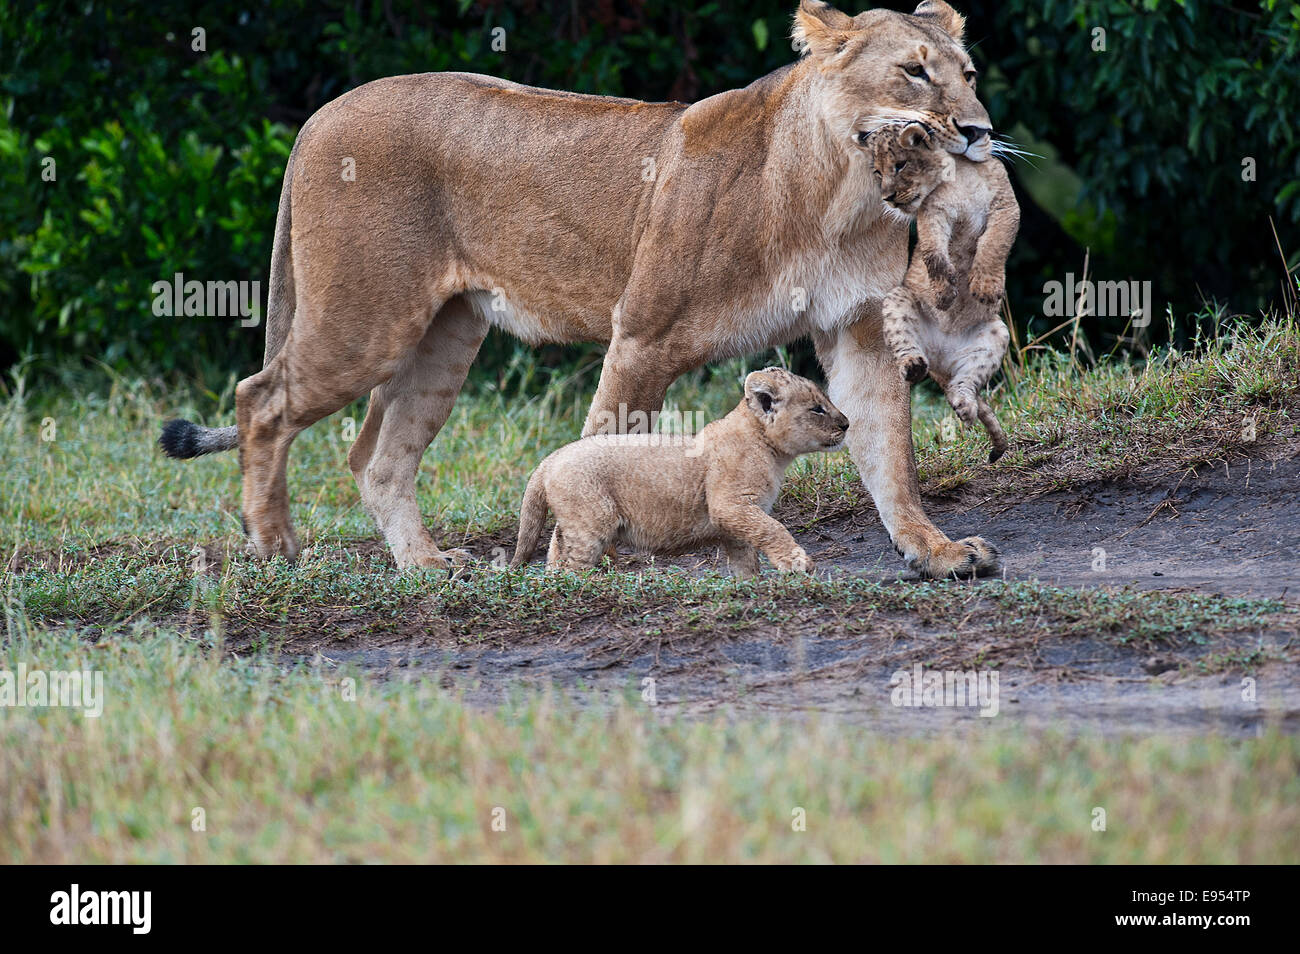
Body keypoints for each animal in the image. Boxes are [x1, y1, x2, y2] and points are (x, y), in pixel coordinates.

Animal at [512, 368, 848, 576]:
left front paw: (749, 584)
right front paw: (796, 563)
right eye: (817, 408)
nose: (846, 424)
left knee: (555, 555)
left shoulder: (736, 518)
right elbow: (772, 529)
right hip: (590, 523)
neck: (772, 451)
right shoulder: (730, 505)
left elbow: (745, 555)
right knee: (570, 568)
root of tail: (550, 459)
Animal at [868, 121, 1020, 461]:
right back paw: (912, 367)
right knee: (906, 346)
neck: (963, 171)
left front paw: (985, 288)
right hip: (898, 300)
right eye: (877, 172)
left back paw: (964, 405)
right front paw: (944, 293)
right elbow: (933, 253)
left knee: (964, 385)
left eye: (900, 165)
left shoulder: (1005, 206)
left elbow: (993, 244)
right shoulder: (934, 214)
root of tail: (940, 359)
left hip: (994, 336)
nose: (888, 198)